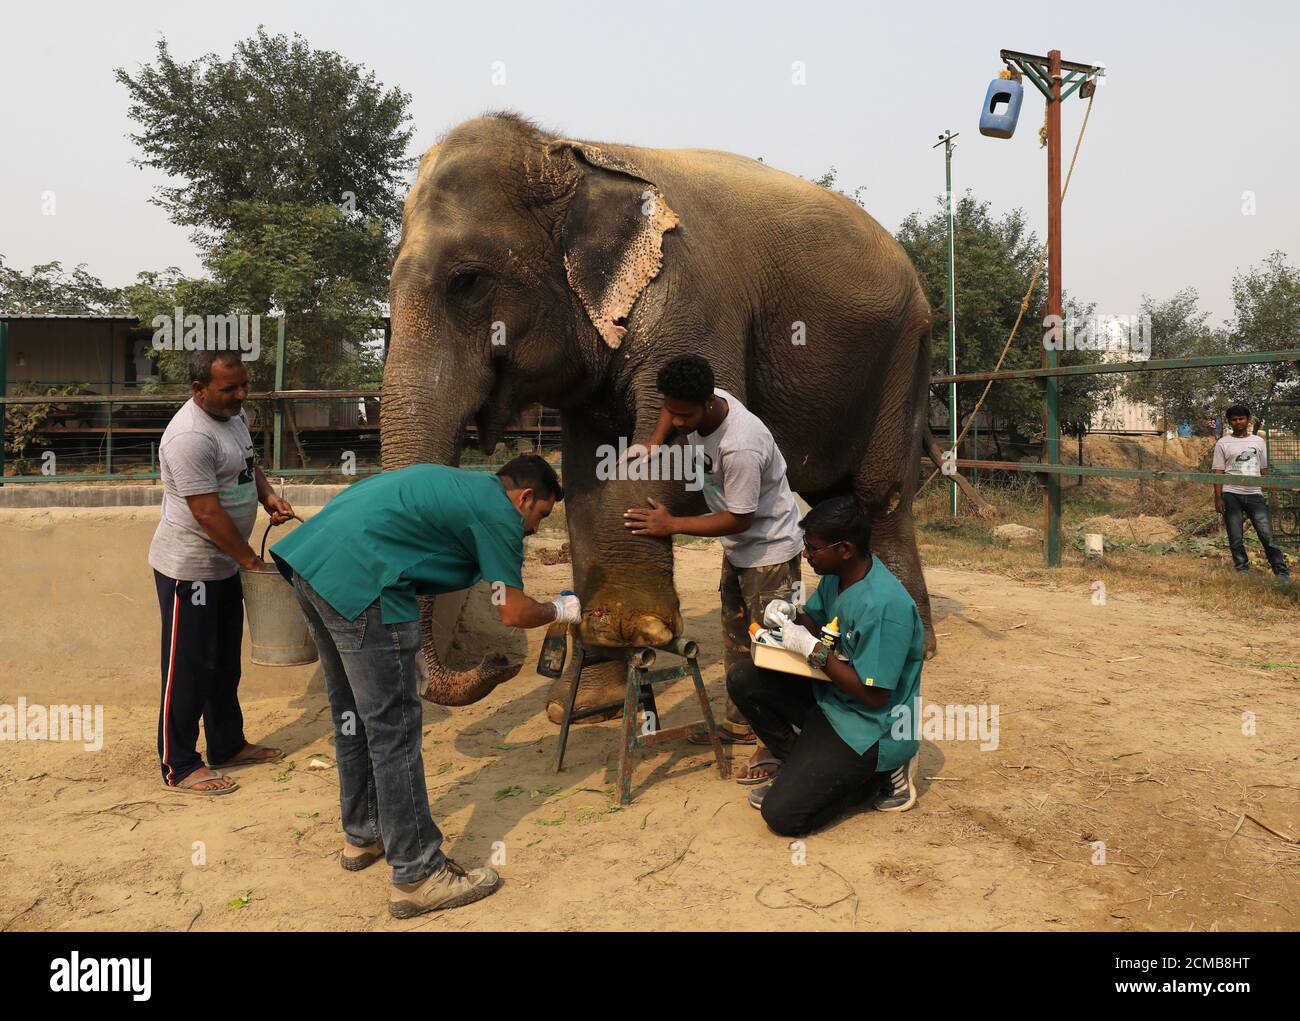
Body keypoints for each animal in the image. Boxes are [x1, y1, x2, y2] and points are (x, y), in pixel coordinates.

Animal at [381, 111, 938, 720]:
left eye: (467, 282)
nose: (499, 663)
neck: (570, 154)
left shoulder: (690, 296)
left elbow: (673, 460)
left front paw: (631, 628)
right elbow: (588, 478)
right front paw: (586, 695)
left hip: (906, 353)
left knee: (879, 494)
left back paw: (913, 645)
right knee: (830, 494)